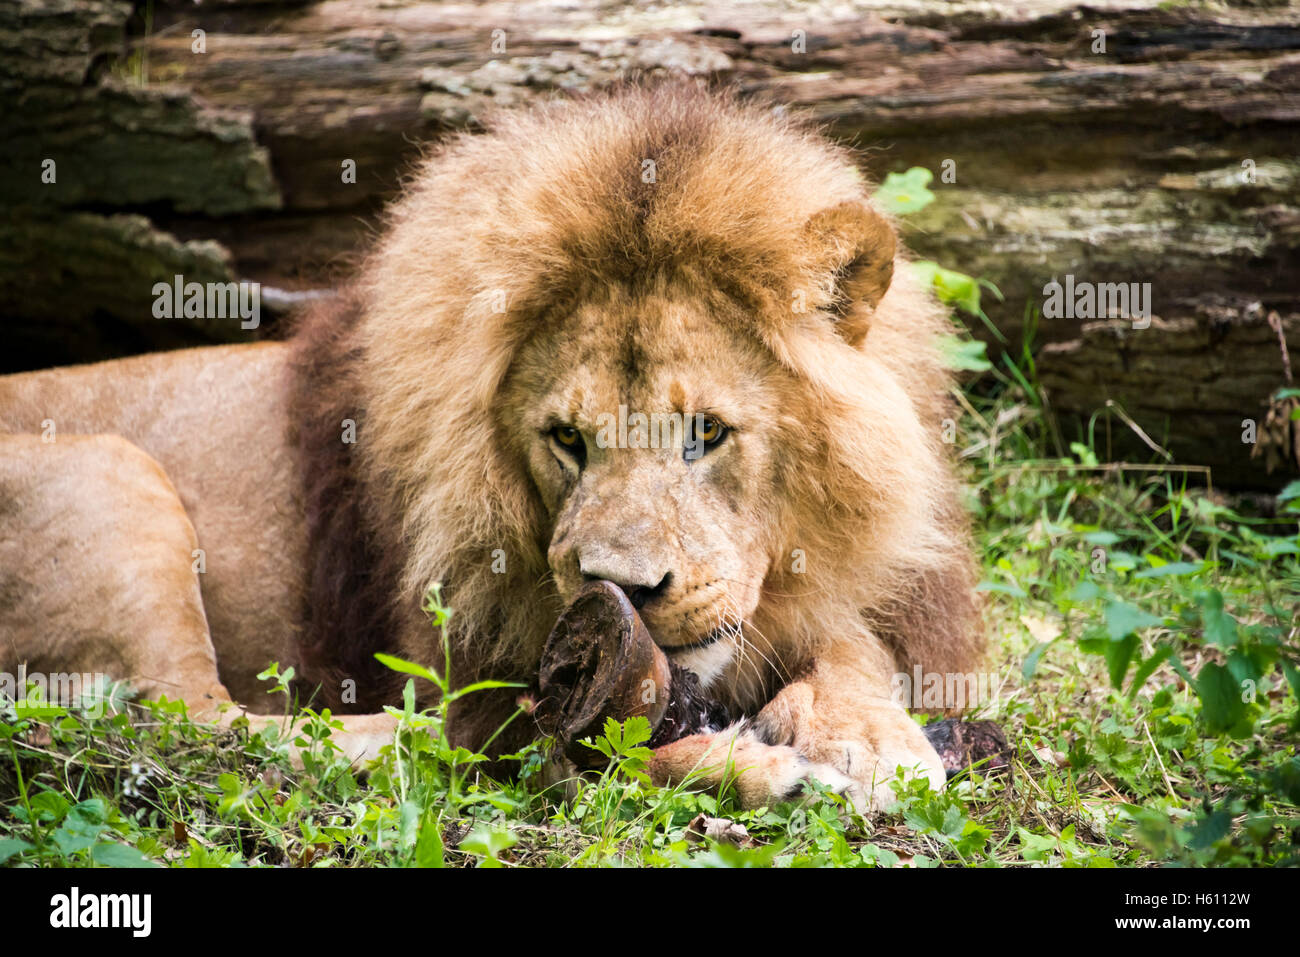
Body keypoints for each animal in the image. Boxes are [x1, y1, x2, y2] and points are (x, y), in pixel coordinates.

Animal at [0, 84, 982, 811]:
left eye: (706, 432)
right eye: (567, 439)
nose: (618, 590)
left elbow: (850, 644)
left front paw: (868, 735)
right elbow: (598, 751)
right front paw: (768, 766)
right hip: (111, 473)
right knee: (183, 716)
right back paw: (394, 736)